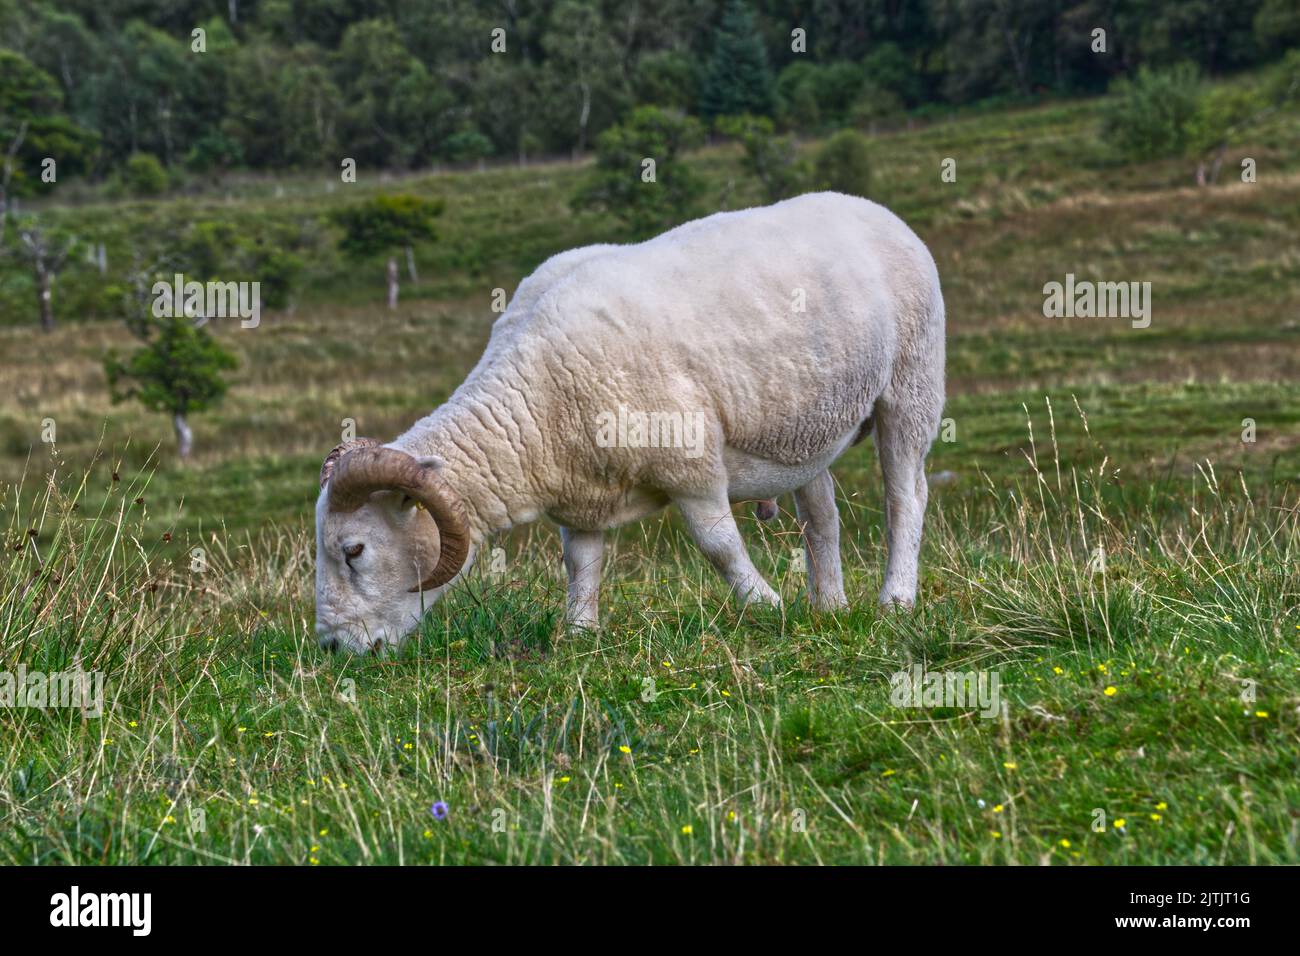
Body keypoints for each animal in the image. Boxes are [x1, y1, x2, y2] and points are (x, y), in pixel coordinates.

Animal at [315, 191, 945, 654]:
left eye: (354, 550)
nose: (332, 647)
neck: (534, 403)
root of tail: (873, 208)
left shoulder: (692, 465)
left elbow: (718, 545)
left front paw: (766, 606)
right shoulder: (580, 496)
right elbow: (582, 563)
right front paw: (579, 633)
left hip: (912, 385)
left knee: (905, 496)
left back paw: (895, 600)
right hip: (806, 432)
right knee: (823, 517)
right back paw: (829, 607)